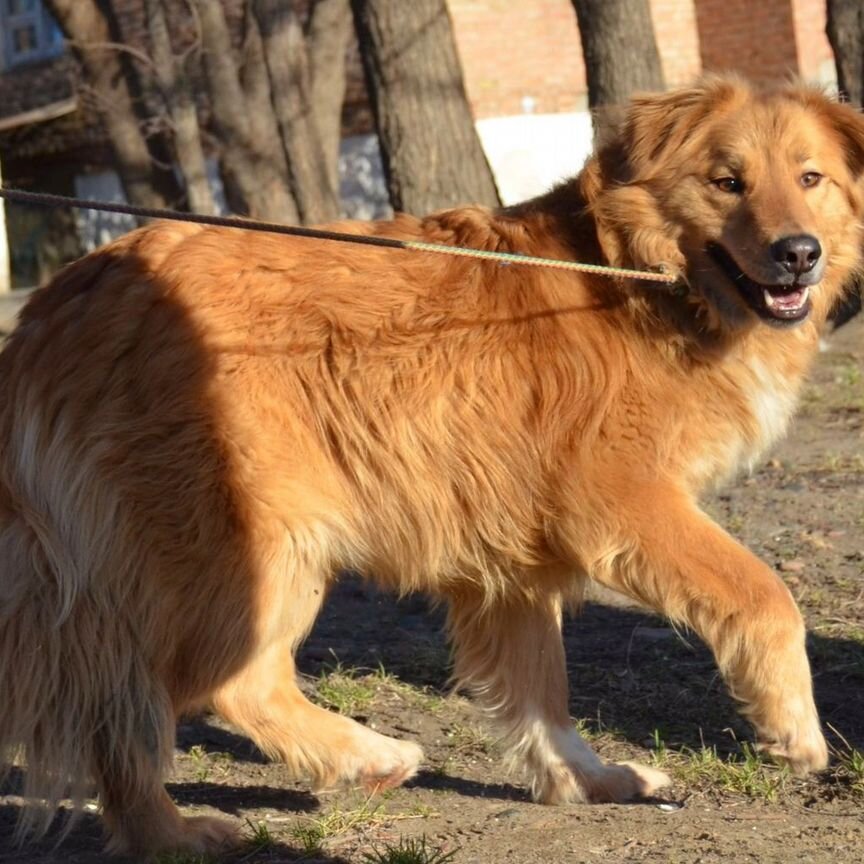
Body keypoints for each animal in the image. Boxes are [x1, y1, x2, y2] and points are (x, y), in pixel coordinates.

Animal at [1, 76, 864, 856]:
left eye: (810, 178)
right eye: (727, 182)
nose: (799, 254)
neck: (634, 275)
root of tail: (62, 301)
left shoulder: (514, 560)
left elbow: (541, 691)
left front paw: (587, 780)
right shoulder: (622, 503)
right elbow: (766, 594)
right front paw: (794, 728)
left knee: (126, 715)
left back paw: (168, 832)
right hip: (266, 545)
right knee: (218, 686)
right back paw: (354, 761)